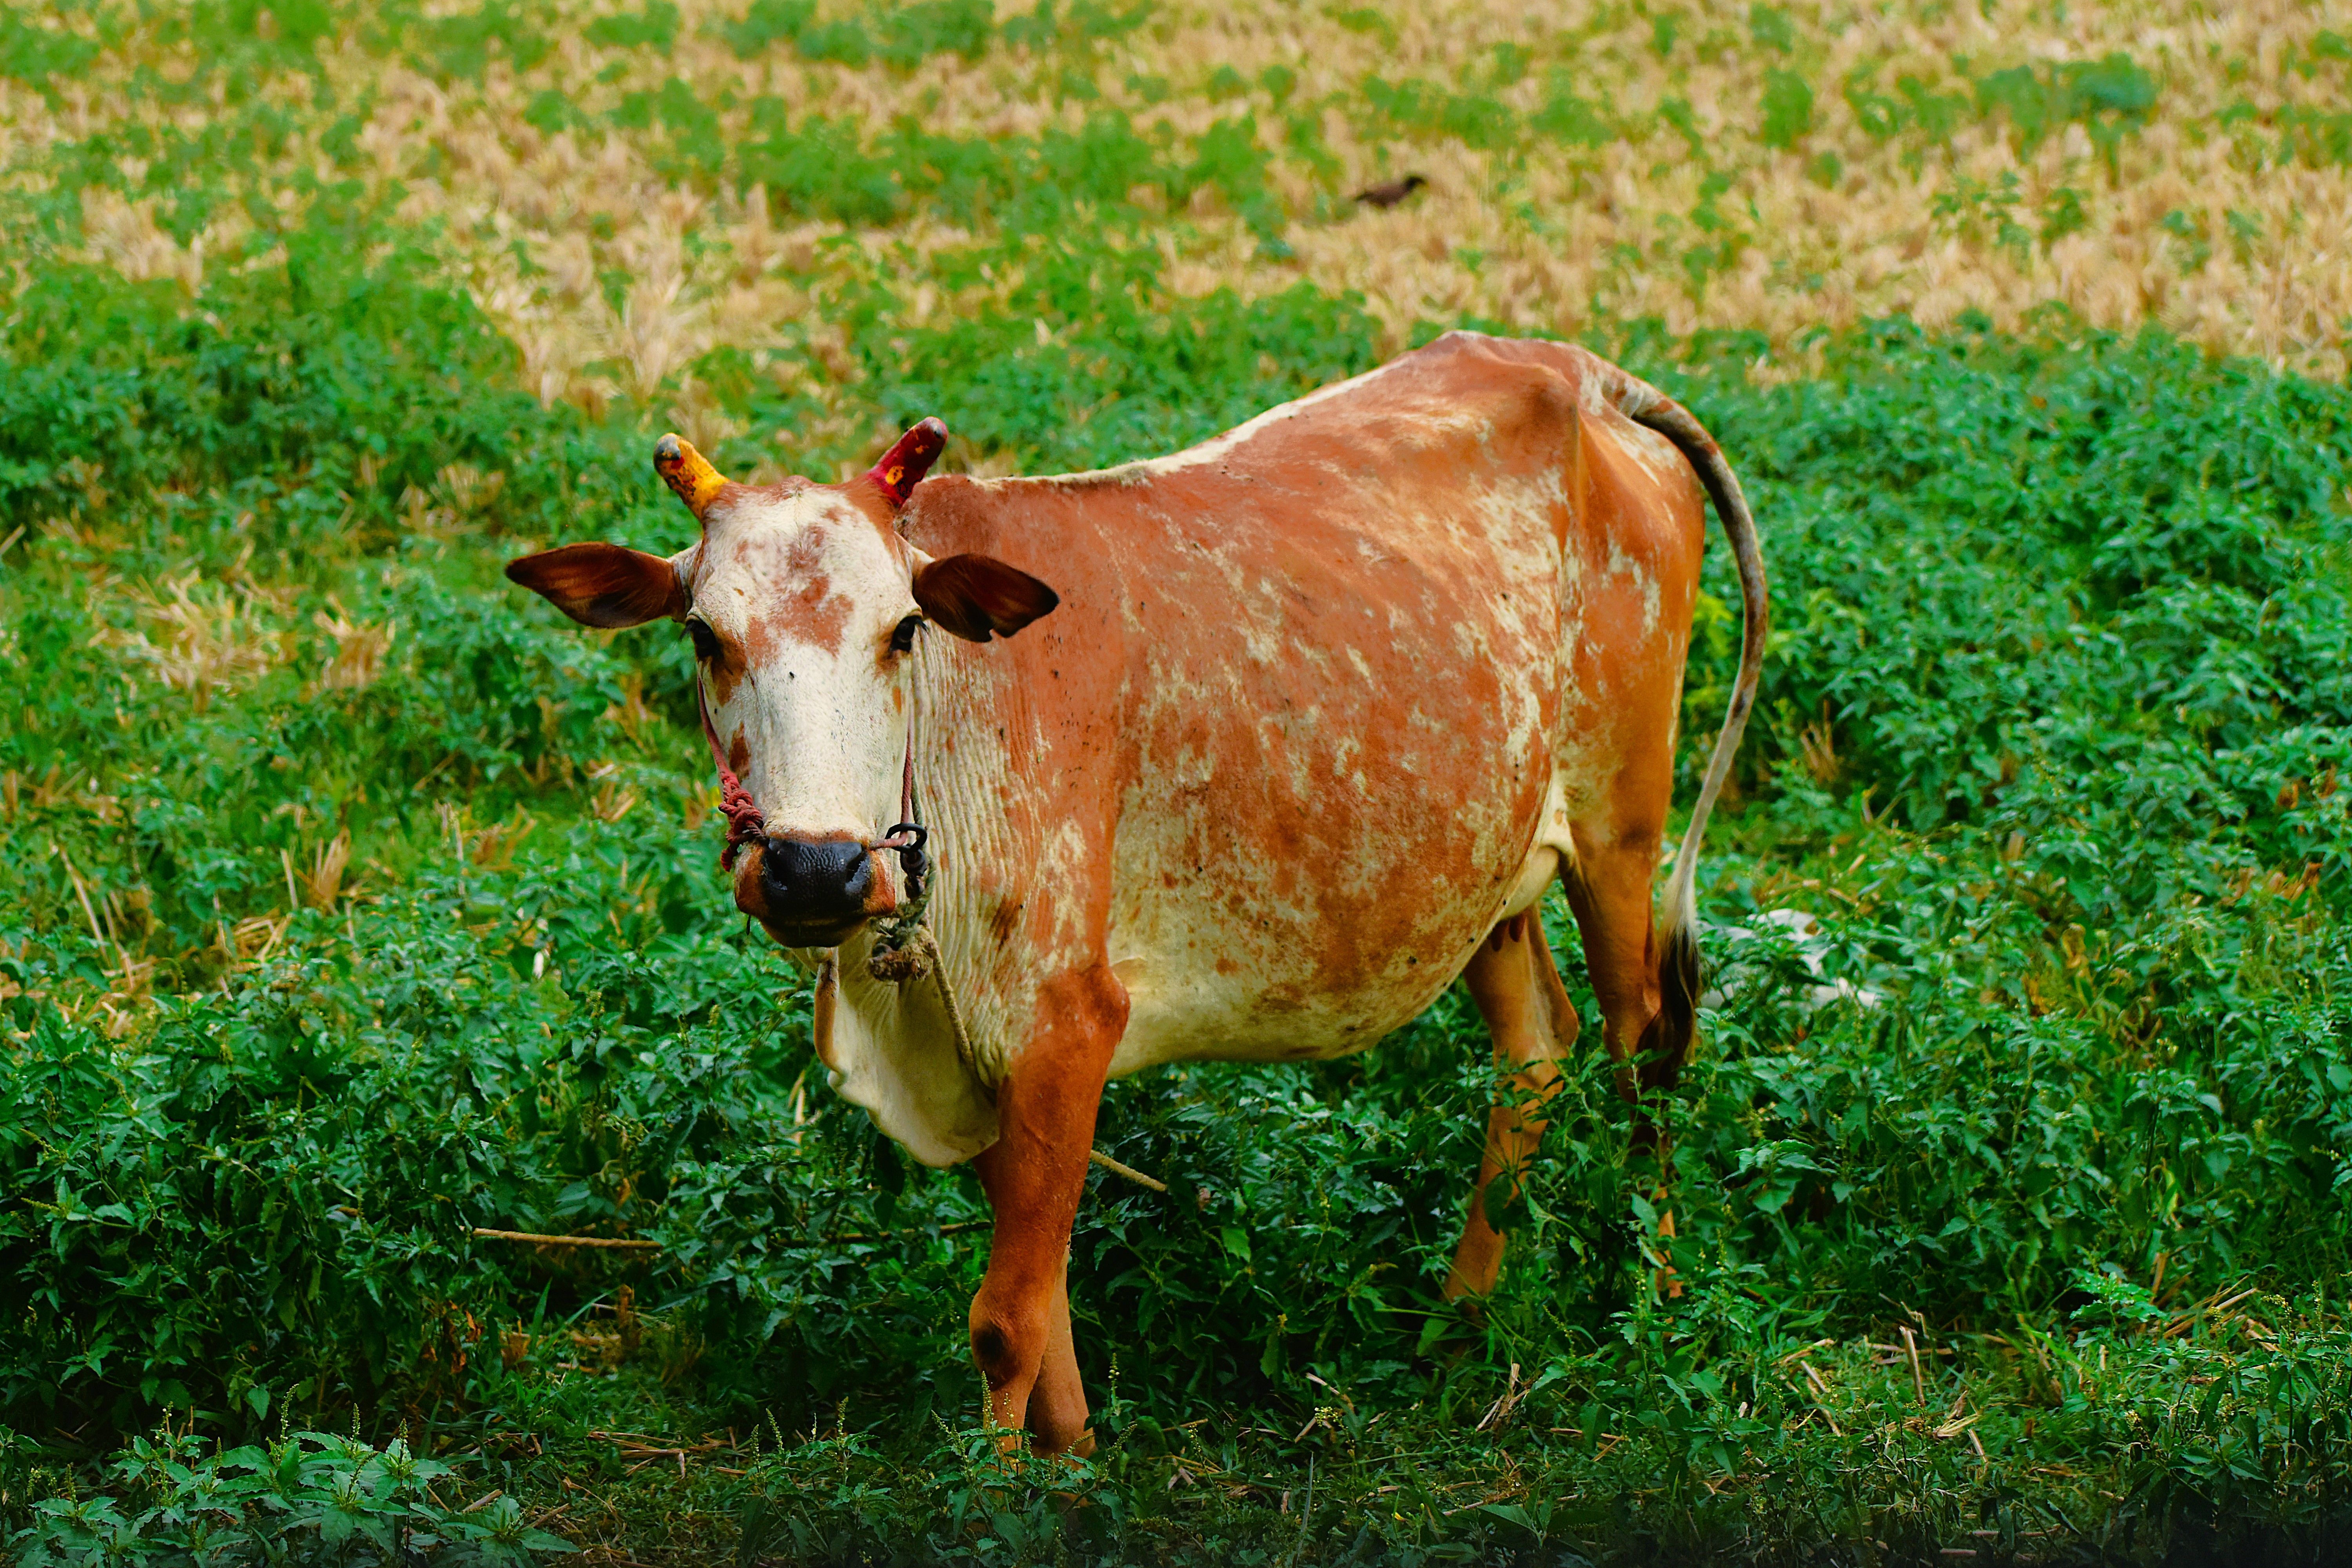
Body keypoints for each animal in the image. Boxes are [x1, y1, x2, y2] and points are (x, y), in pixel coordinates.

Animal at [506, 330, 1767, 1456]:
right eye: (702, 634)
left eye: (904, 630)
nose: (816, 867)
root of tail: (1577, 371)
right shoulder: (986, 1062)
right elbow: (1047, 1308)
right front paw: (1074, 1464)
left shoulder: (1070, 1022)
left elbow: (1007, 1323)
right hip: (1484, 866)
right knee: (1537, 1048)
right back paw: (1458, 1324)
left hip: (1620, 828)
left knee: (1643, 1048)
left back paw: (1656, 1301)